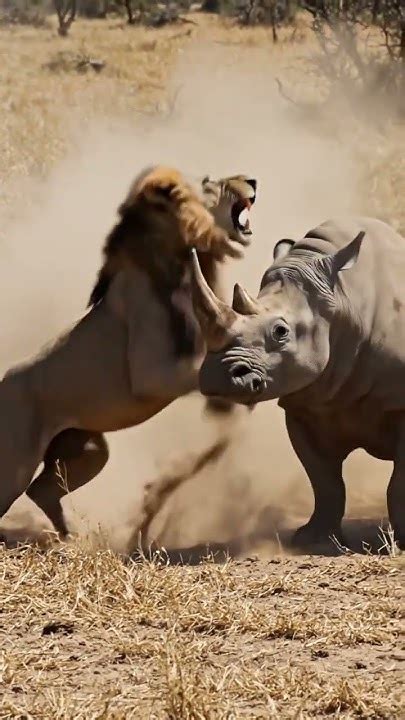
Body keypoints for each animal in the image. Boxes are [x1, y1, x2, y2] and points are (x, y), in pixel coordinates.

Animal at [190, 216, 405, 550]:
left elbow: (398, 482)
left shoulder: (399, 401)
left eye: (281, 332)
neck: (344, 299)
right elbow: (324, 480)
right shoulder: (304, 403)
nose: (217, 378)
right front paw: (313, 539)